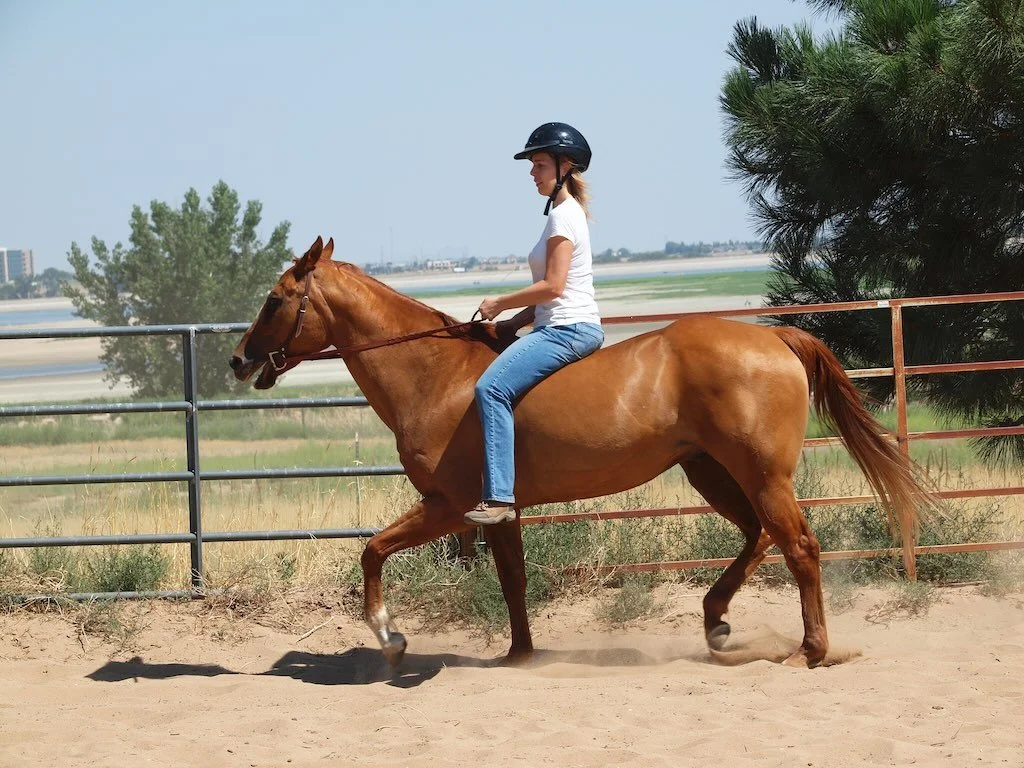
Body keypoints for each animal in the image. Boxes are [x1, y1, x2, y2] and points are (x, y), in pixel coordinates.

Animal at [230, 235, 932, 668]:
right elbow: (512, 579)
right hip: (710, 471)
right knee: (759, 537)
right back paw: (716, 621)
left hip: (759, 475)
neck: (435, 376)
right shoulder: (498, 510)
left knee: (800, 548)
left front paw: (391, 637)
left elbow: (372, 551)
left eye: (274, 299)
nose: (238, 360)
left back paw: (809, 650)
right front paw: (520, 654)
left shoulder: (448, 506)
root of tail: (777, 340)